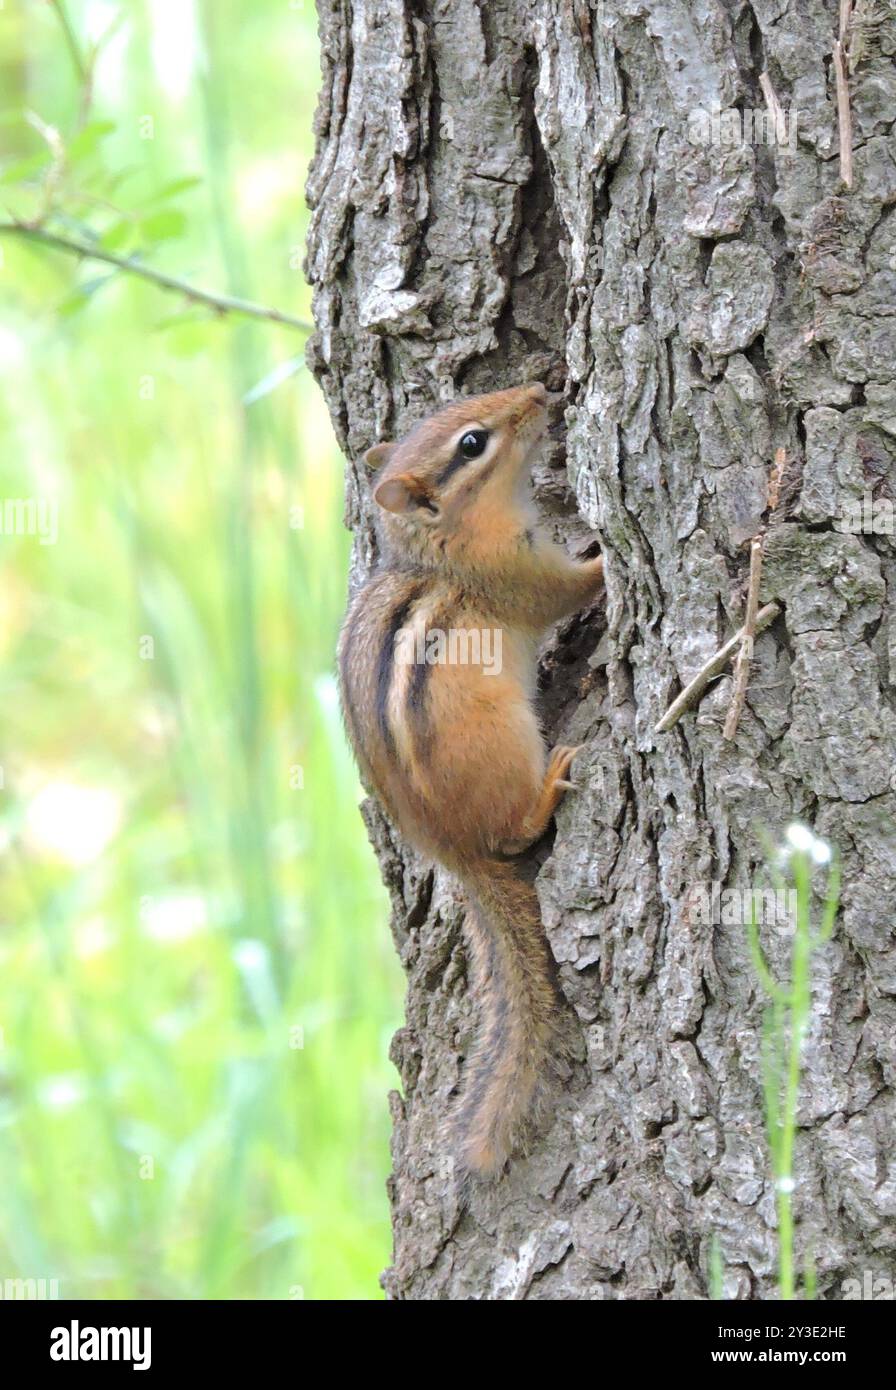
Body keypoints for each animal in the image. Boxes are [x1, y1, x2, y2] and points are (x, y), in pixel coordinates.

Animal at [338, 381, 603, 1178]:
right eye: (472, 444)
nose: (540, 390)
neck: (445, 547)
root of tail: (449, 849)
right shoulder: (520, 577)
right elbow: (574, 588)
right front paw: (610, 556)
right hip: (505, 741)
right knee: (515, 829)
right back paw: (549, 786)